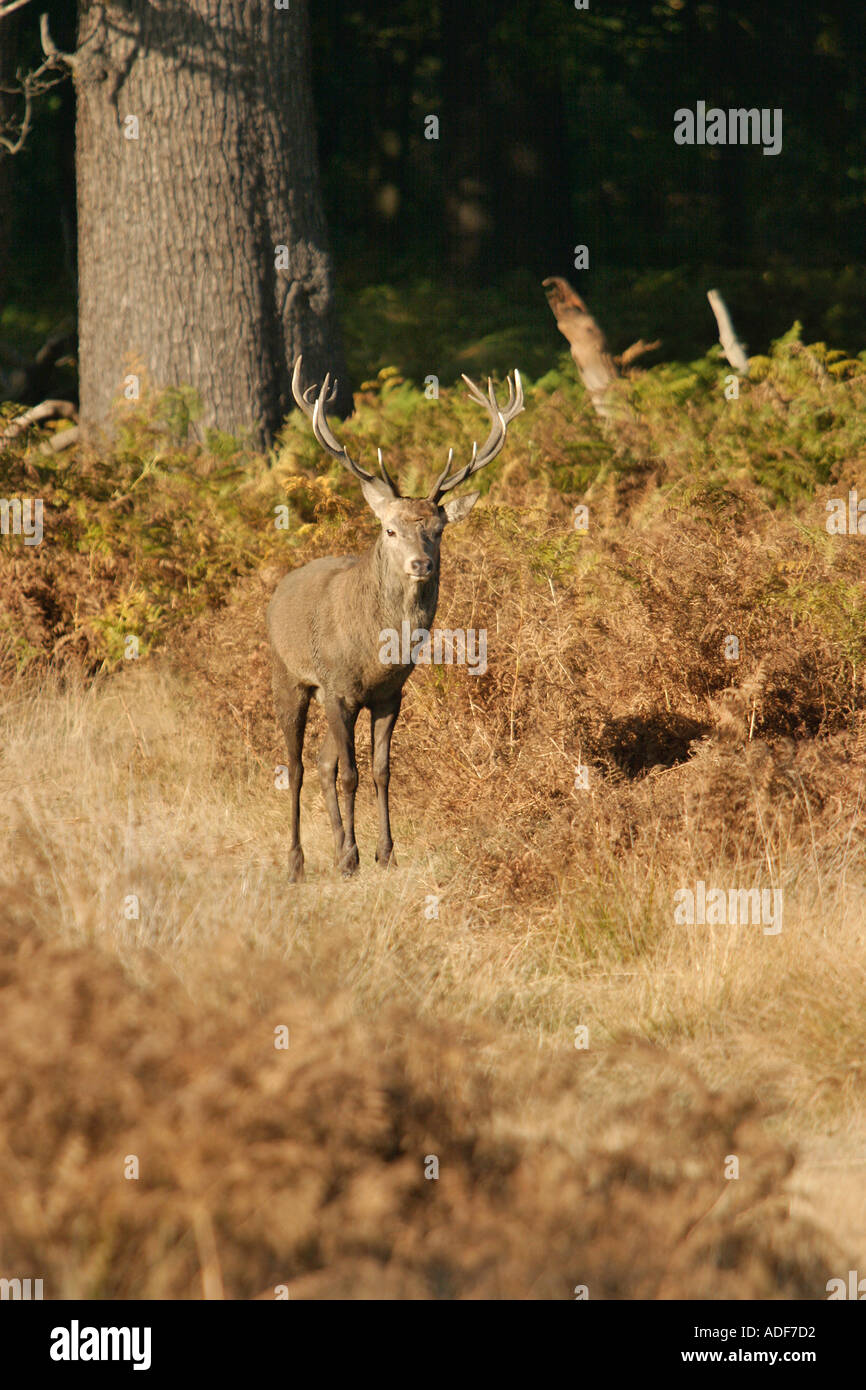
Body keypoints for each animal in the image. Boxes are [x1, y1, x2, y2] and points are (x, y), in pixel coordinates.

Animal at [266, 355, 524, 881]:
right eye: (389, 528)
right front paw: (351, 857)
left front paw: (384, 852)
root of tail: (279, 589)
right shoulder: (339, 688)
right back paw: (298, 861)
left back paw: (336, 846)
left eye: (439, 530)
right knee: (297, 766)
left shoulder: (388, 695)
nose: (421, 564)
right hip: (291, 678)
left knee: (321, 763)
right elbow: (351, 773)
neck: (375, 655)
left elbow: (381, 770)